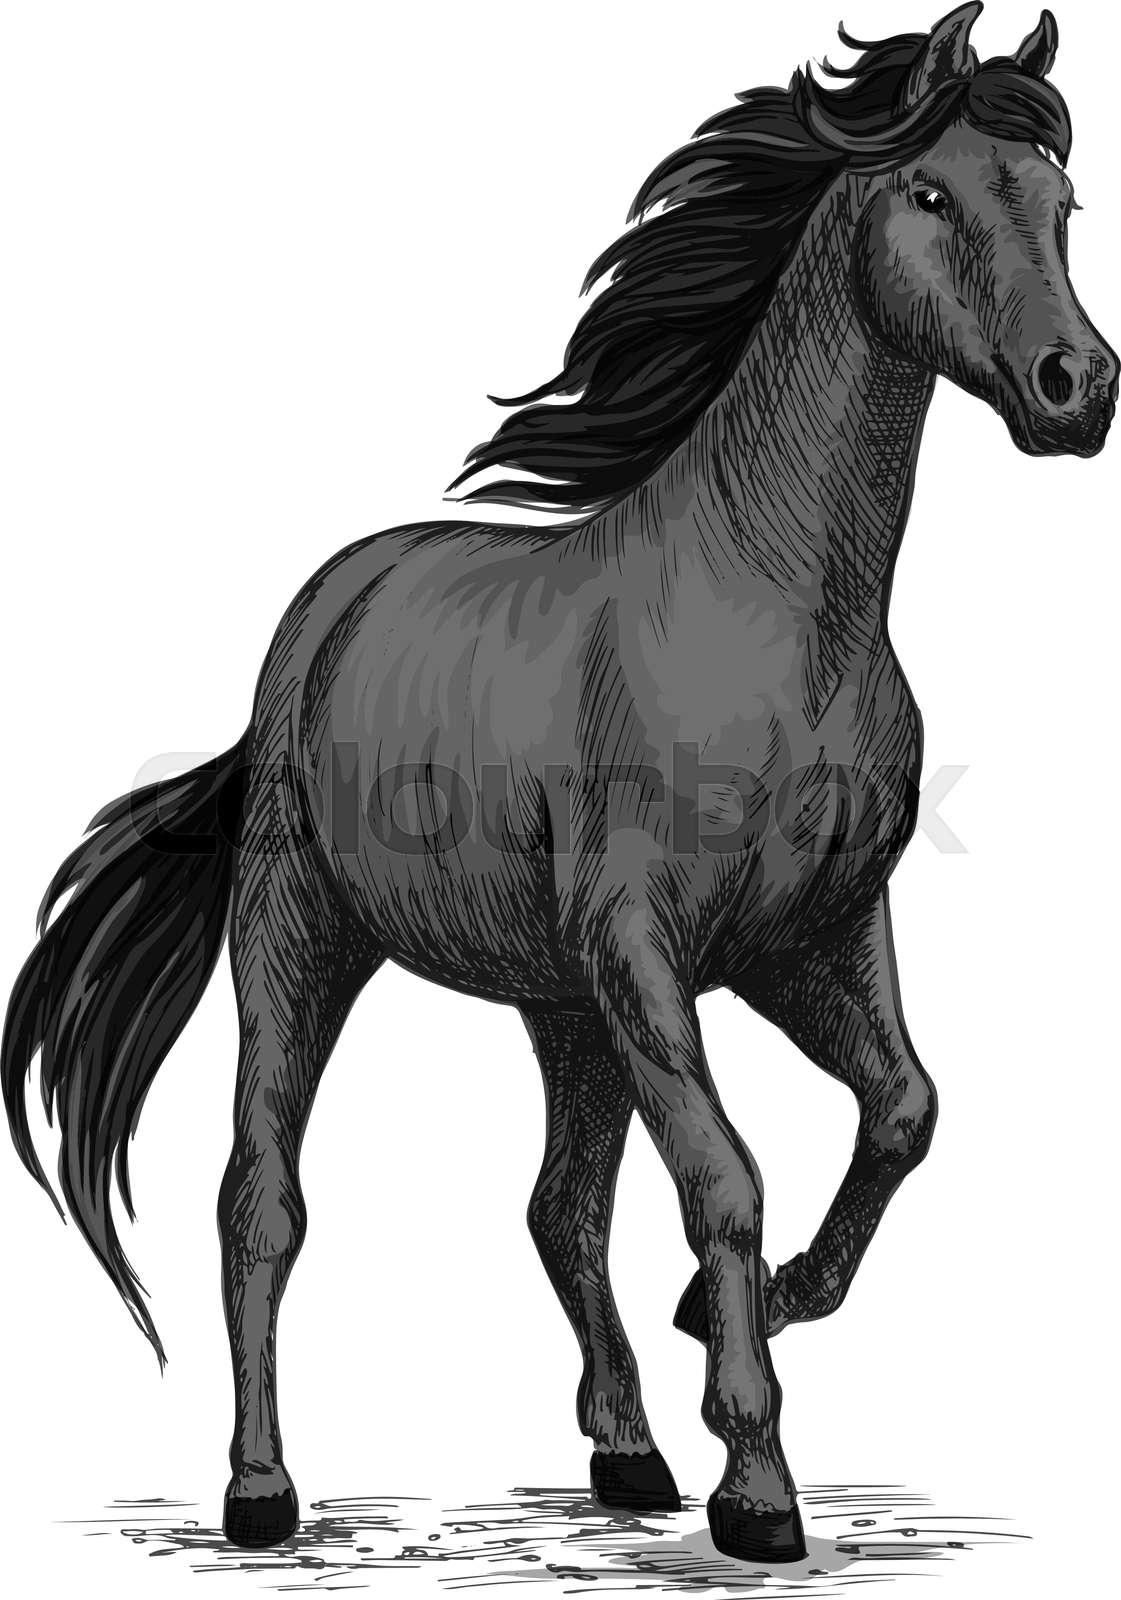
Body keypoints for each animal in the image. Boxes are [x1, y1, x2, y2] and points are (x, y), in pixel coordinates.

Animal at [2, 1, 1115, 1566]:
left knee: (559, 1207)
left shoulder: (807, 937)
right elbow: (724, 1177)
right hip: (301, 939)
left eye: (1061, 207)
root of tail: (326, 609)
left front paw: (750, 1316)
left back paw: (629, 1454)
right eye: (930, 194)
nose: (1079, 389)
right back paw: (262, 1490)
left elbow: (903, 1109)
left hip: (557, 1004)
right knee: (262, 1200)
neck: (773, 615)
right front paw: (758, 1488)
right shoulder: (644, 949)